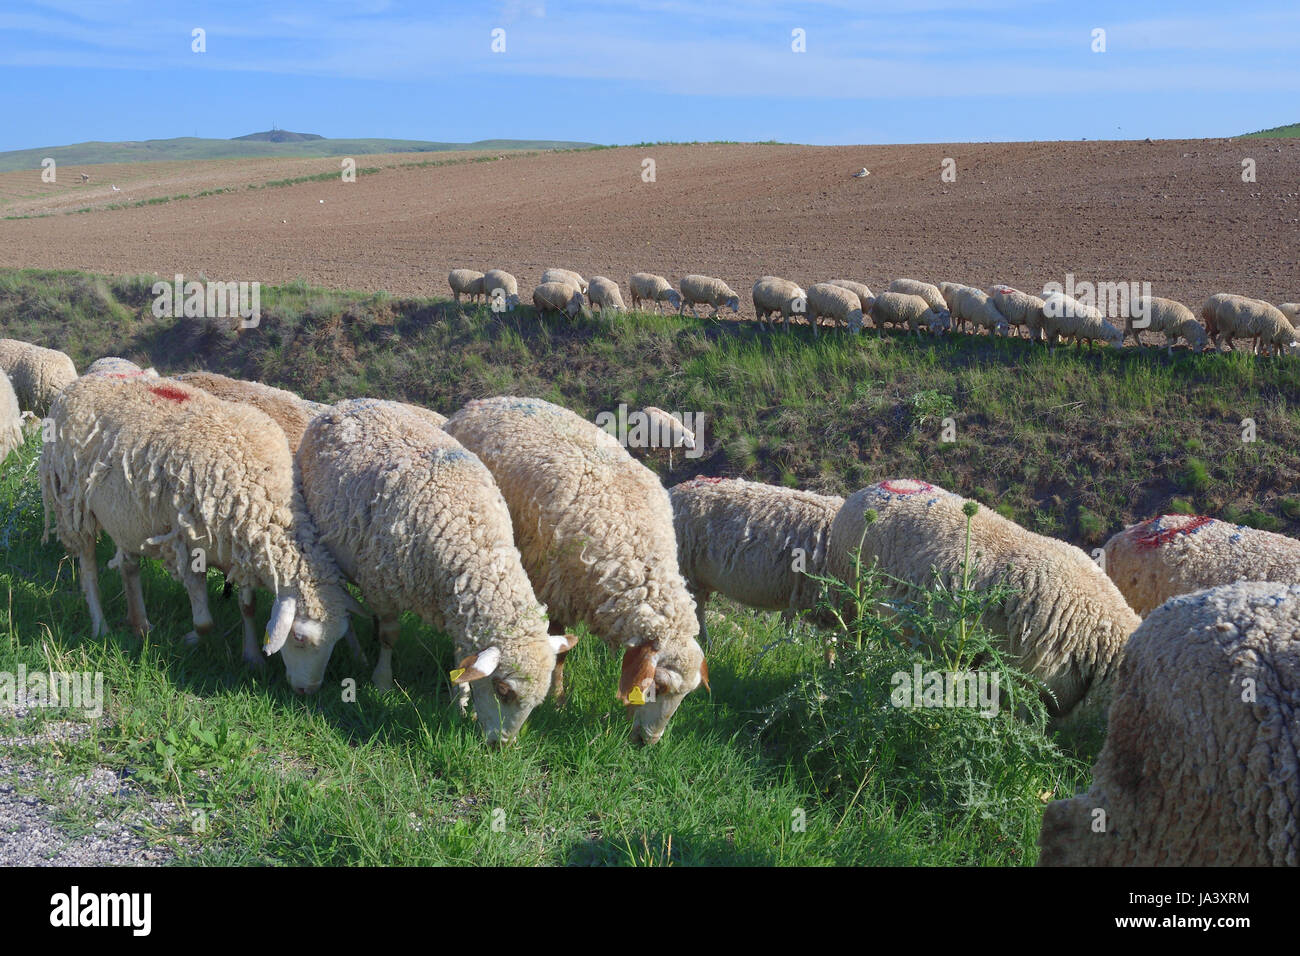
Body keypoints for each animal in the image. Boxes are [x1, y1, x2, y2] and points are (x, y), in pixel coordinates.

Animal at [38, 374, 356, 690]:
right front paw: (191, 639)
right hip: (72, 501)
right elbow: (205, 623)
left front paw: (252, 657)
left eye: (337, 639)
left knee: (129, 566)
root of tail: (83, 381)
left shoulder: (241, 550)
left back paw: (140, 623)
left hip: (126, 515)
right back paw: (100, 625)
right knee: (89, 569)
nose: (308, 690)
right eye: (299, 637)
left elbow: (248, 607)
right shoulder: (188, 546)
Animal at [297, 399, 576, 742]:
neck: (472, 539)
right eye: (502, 690)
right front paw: (383, 681)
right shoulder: (382, 587)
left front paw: (460, 705)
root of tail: (348, 403)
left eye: (537, 702)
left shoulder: (456, 606)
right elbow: (389, 637)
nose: (500, 746)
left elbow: (461, 659)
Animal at [443, 396, 708, 745]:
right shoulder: (554, 590)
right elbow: (557, 655)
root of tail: (487, 400)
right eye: (659, 686)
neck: (636, 545)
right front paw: (556, 700)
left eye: (685, 696)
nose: (648, 742)